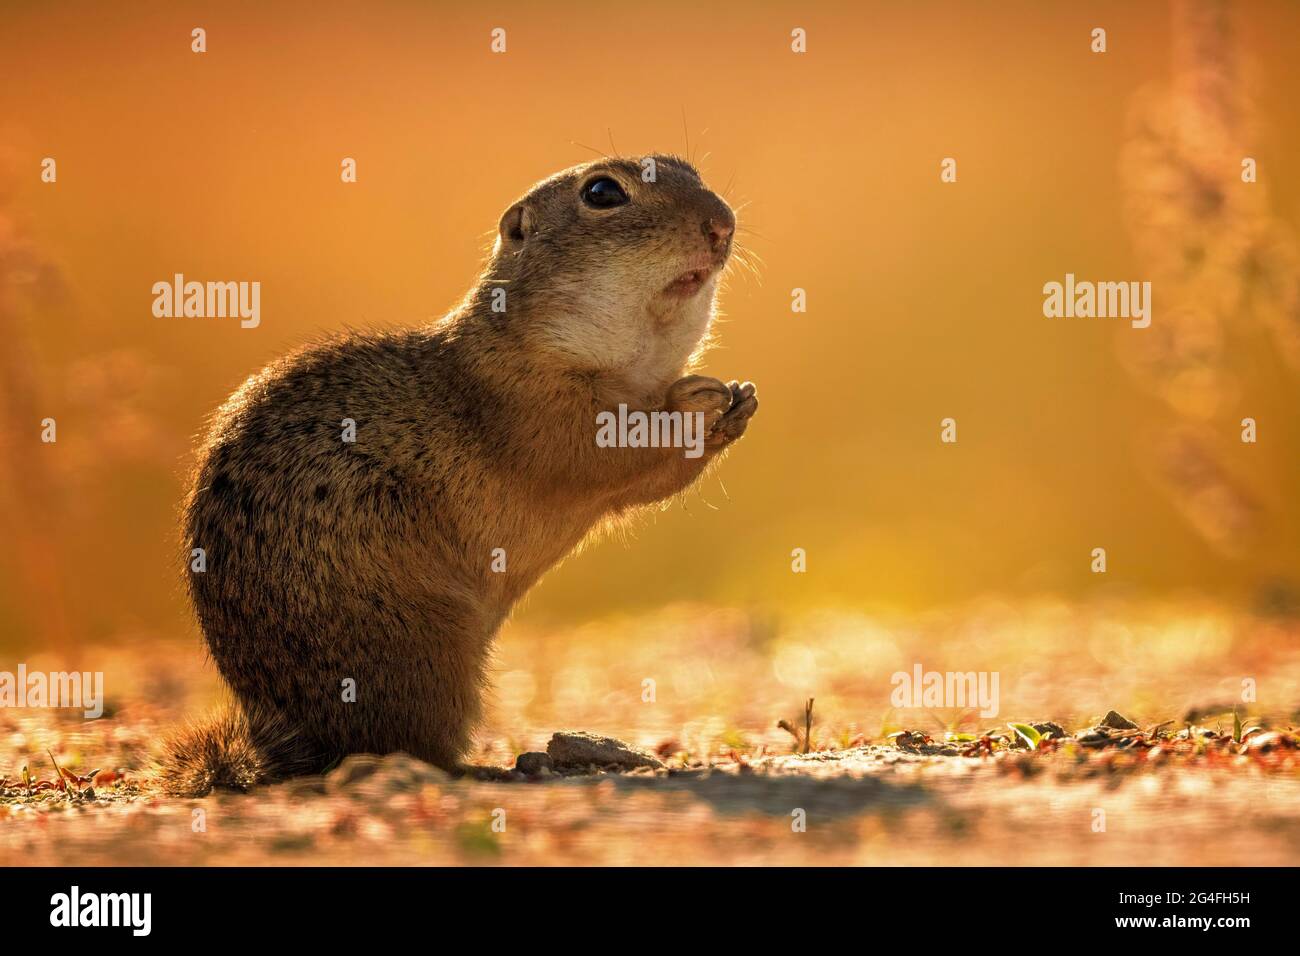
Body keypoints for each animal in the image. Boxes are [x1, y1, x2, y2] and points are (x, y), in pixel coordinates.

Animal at [161, 156, 759, 795]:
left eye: (689, 169)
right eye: (603, 192)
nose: (722, 224)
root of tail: (289, 739)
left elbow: (648, 481)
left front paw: (738, 402)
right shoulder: (542, 414)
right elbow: (611, 451)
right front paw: (696, 403)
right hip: (426, 640)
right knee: (410, 748)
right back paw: (488, 767)